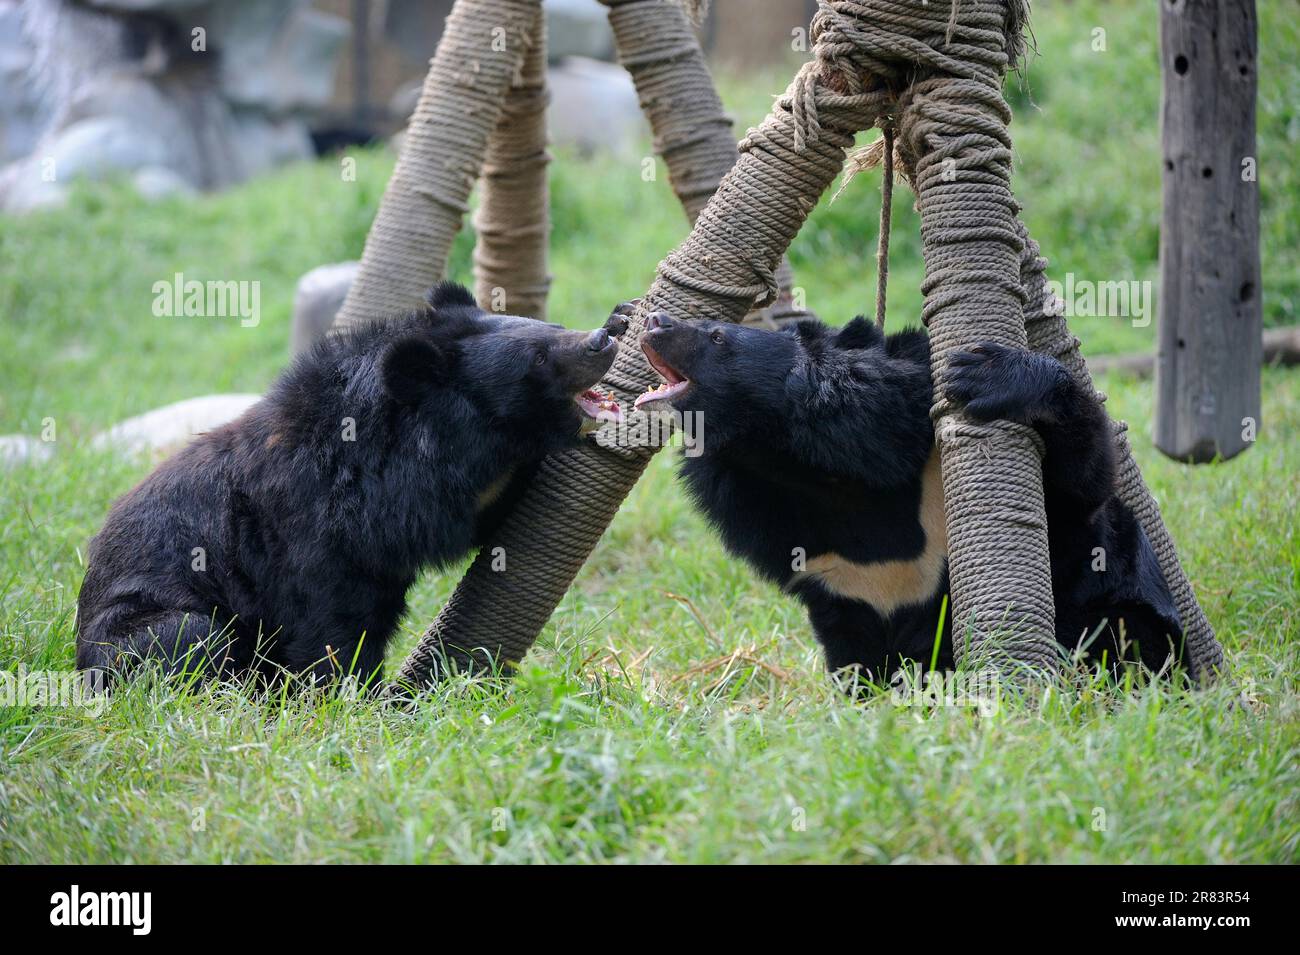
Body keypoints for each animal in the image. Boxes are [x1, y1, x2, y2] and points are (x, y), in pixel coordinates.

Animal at [76, 282, 629, 689]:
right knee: (189, 637)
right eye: (538, 358)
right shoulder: (318, 530)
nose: (601, 340)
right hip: (139, 626)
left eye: (554, 327)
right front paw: (346, 702)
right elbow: (329, 624)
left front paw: (625, 313)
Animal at [634, 312, 1183, 684]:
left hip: (1128, 614)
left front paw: (990, 373)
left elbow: (1082, 487)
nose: (654, 319)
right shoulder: (830, 575)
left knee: (1127, 639)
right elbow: (854, 657)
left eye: (716, 336)